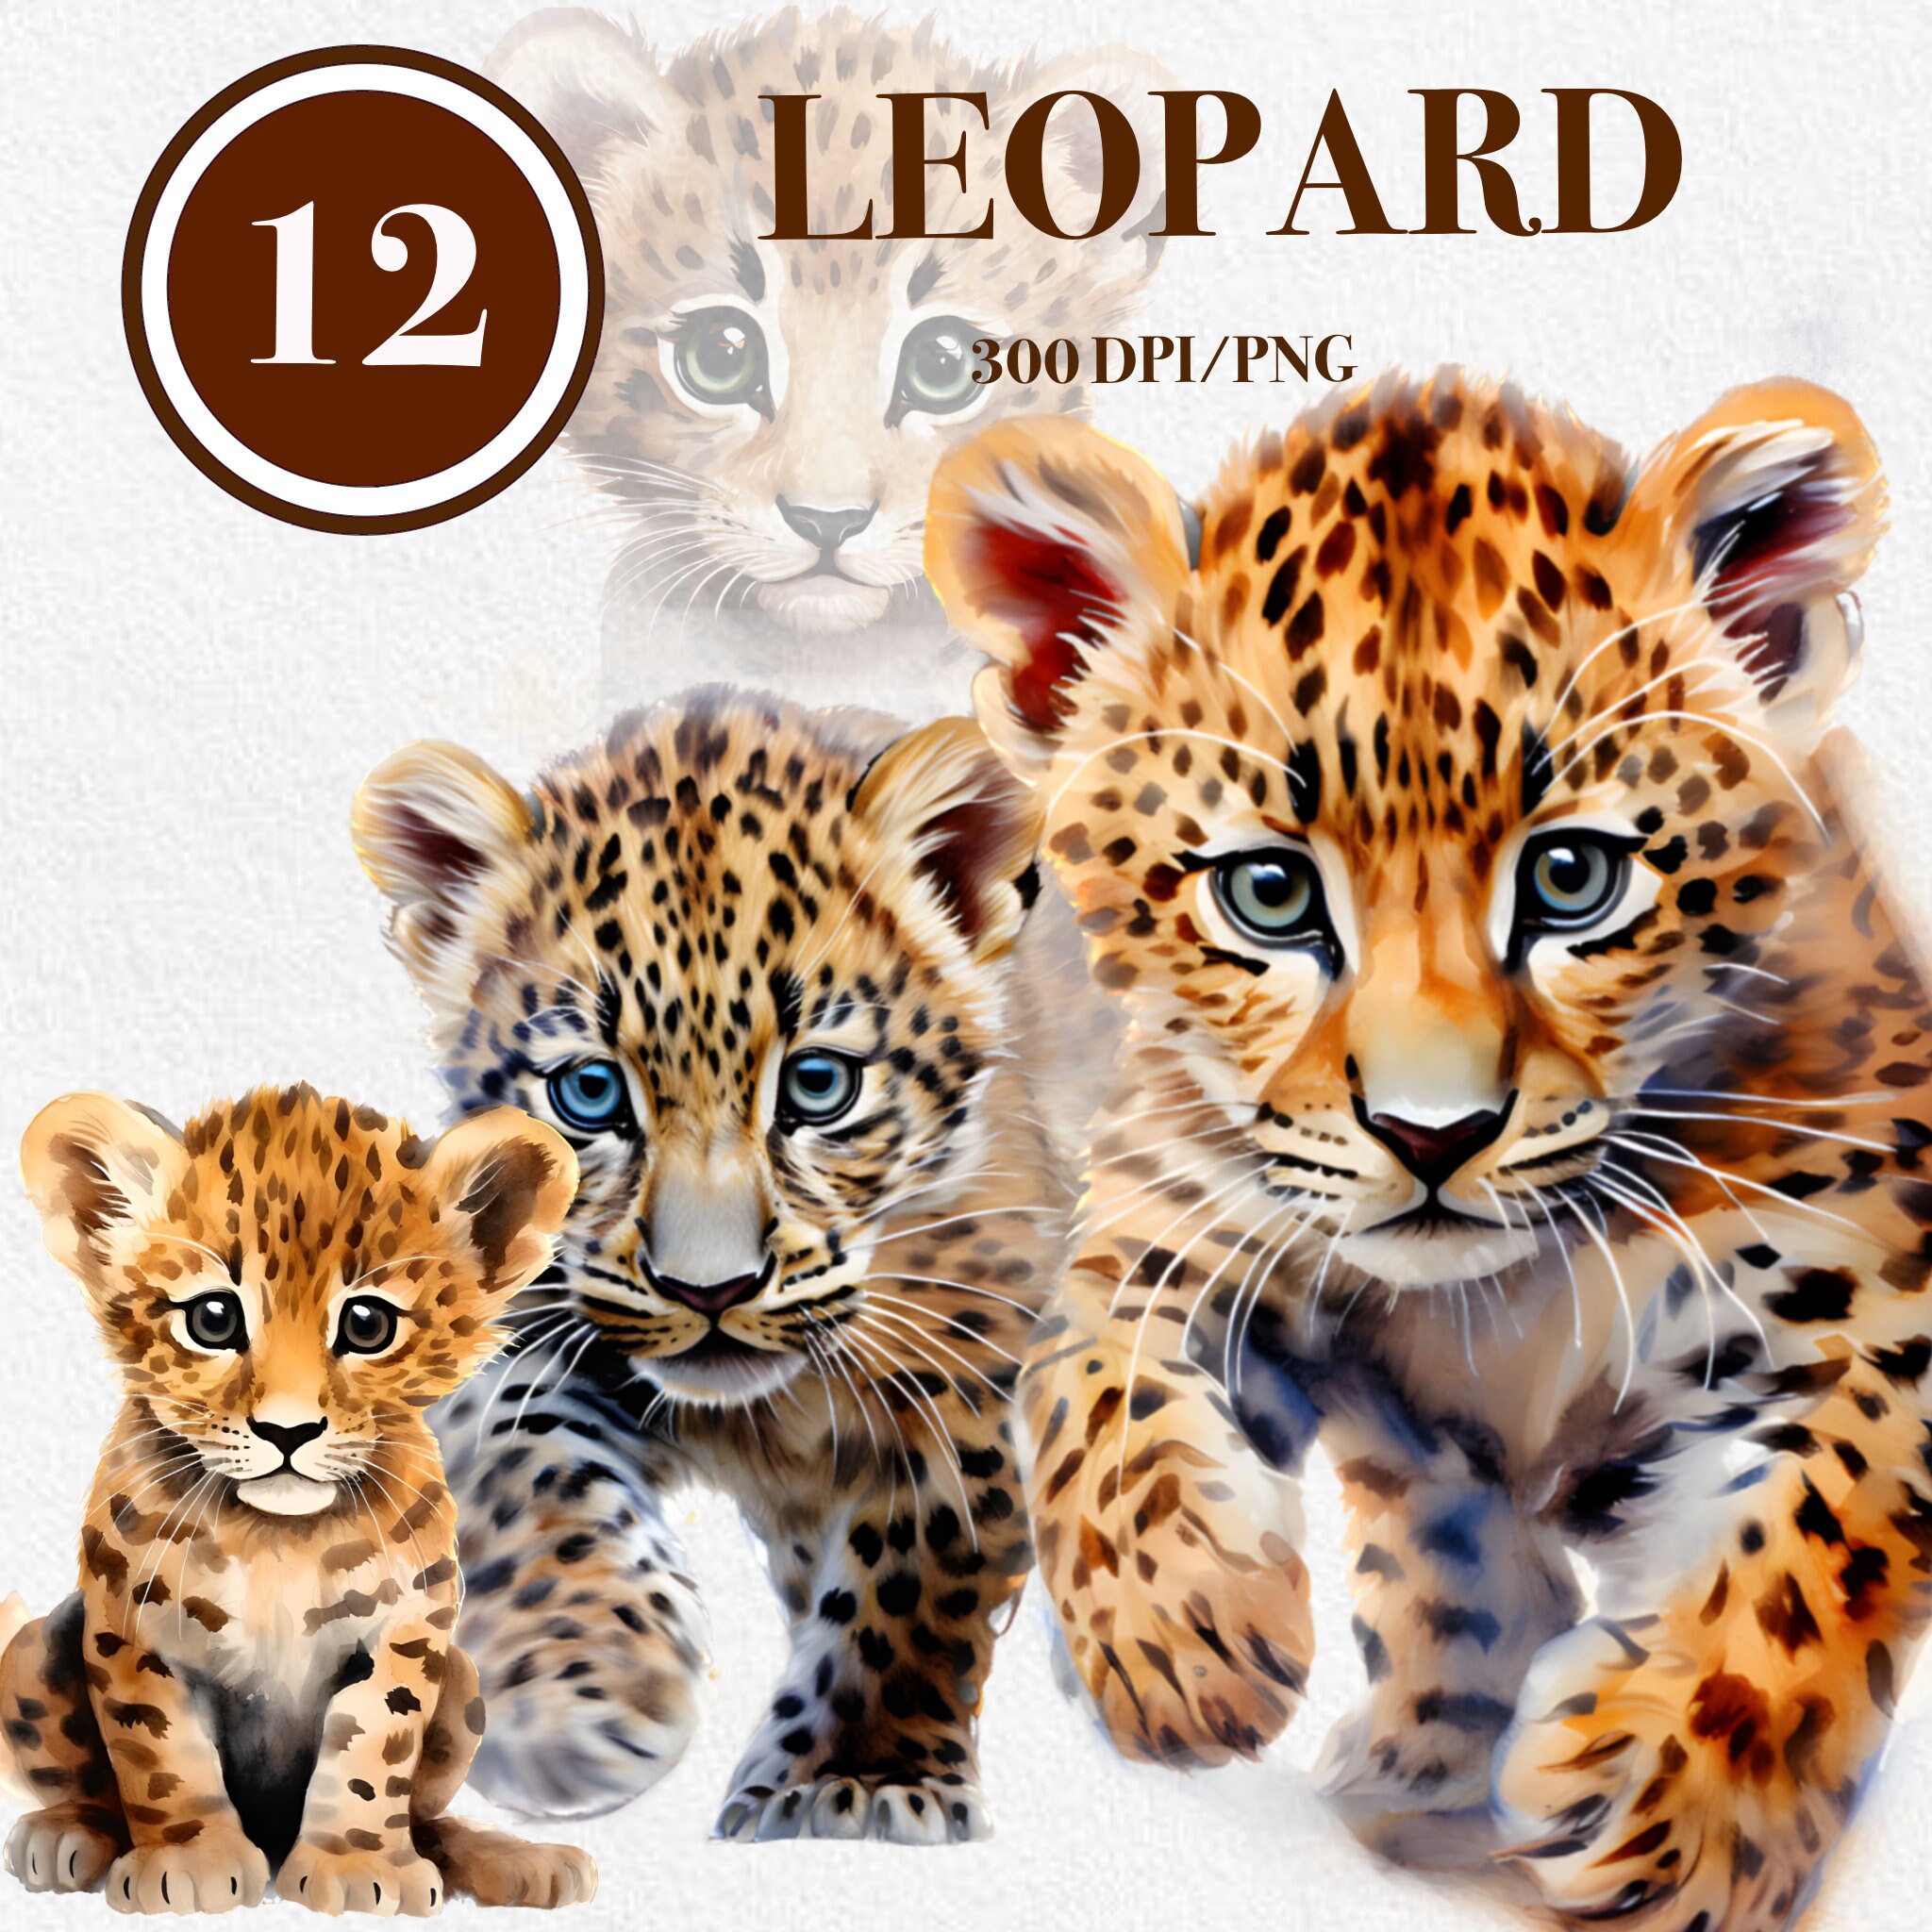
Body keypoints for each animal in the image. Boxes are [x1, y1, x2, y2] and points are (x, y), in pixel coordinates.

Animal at [1, 1084, 596, 1914]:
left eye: (368, 1324)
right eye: (213, 1319)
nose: (288, 1430)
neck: (276, 1539)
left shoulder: (404, 1630)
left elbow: (375, 1753)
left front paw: (358, 1867)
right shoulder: (132, 1626)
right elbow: (159, 1750)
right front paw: (191, 1861)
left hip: (465, 1680)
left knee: (429, 1817)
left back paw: (516, 1860)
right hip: (29, 1652)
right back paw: (66, 1836)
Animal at [350, 689, 1074, 1841]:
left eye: (819, 1084)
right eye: (589, 1092)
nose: (710, 1292)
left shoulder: (980, 1358)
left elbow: (917, 1565)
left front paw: (853, 1777)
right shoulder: (517, 1313)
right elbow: (528, 1470)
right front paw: (578, 1695)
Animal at [923, 370, 1932, 1930]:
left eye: (1574, 878)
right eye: (1270, 895)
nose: (1432, 1134)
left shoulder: (1873, 1281)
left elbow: (1824, 1529)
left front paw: (1680, 1800)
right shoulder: (1175, 1207)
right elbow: (1089, 1383)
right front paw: (1181, 1633)